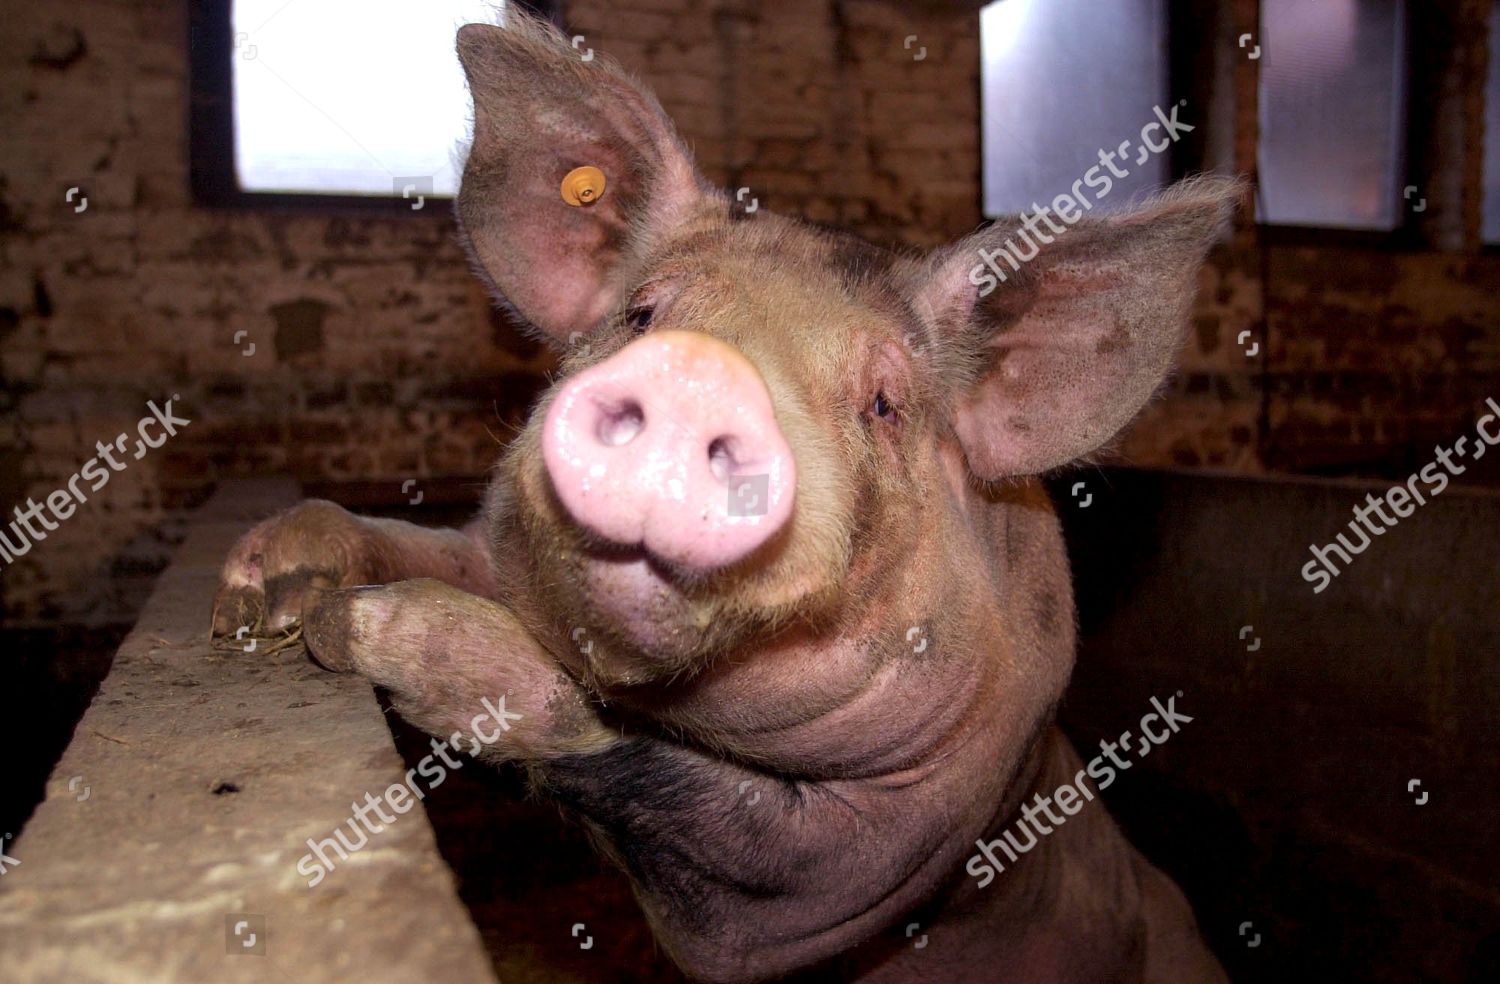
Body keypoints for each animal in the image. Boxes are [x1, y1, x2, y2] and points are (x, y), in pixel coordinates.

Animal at [210, 12, 1237, 983]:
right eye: (640, 315)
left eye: (885, 404)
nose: (699, 372)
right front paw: (266, 598)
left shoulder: (844, 875)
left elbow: (650, 774)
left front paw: (368, 629)